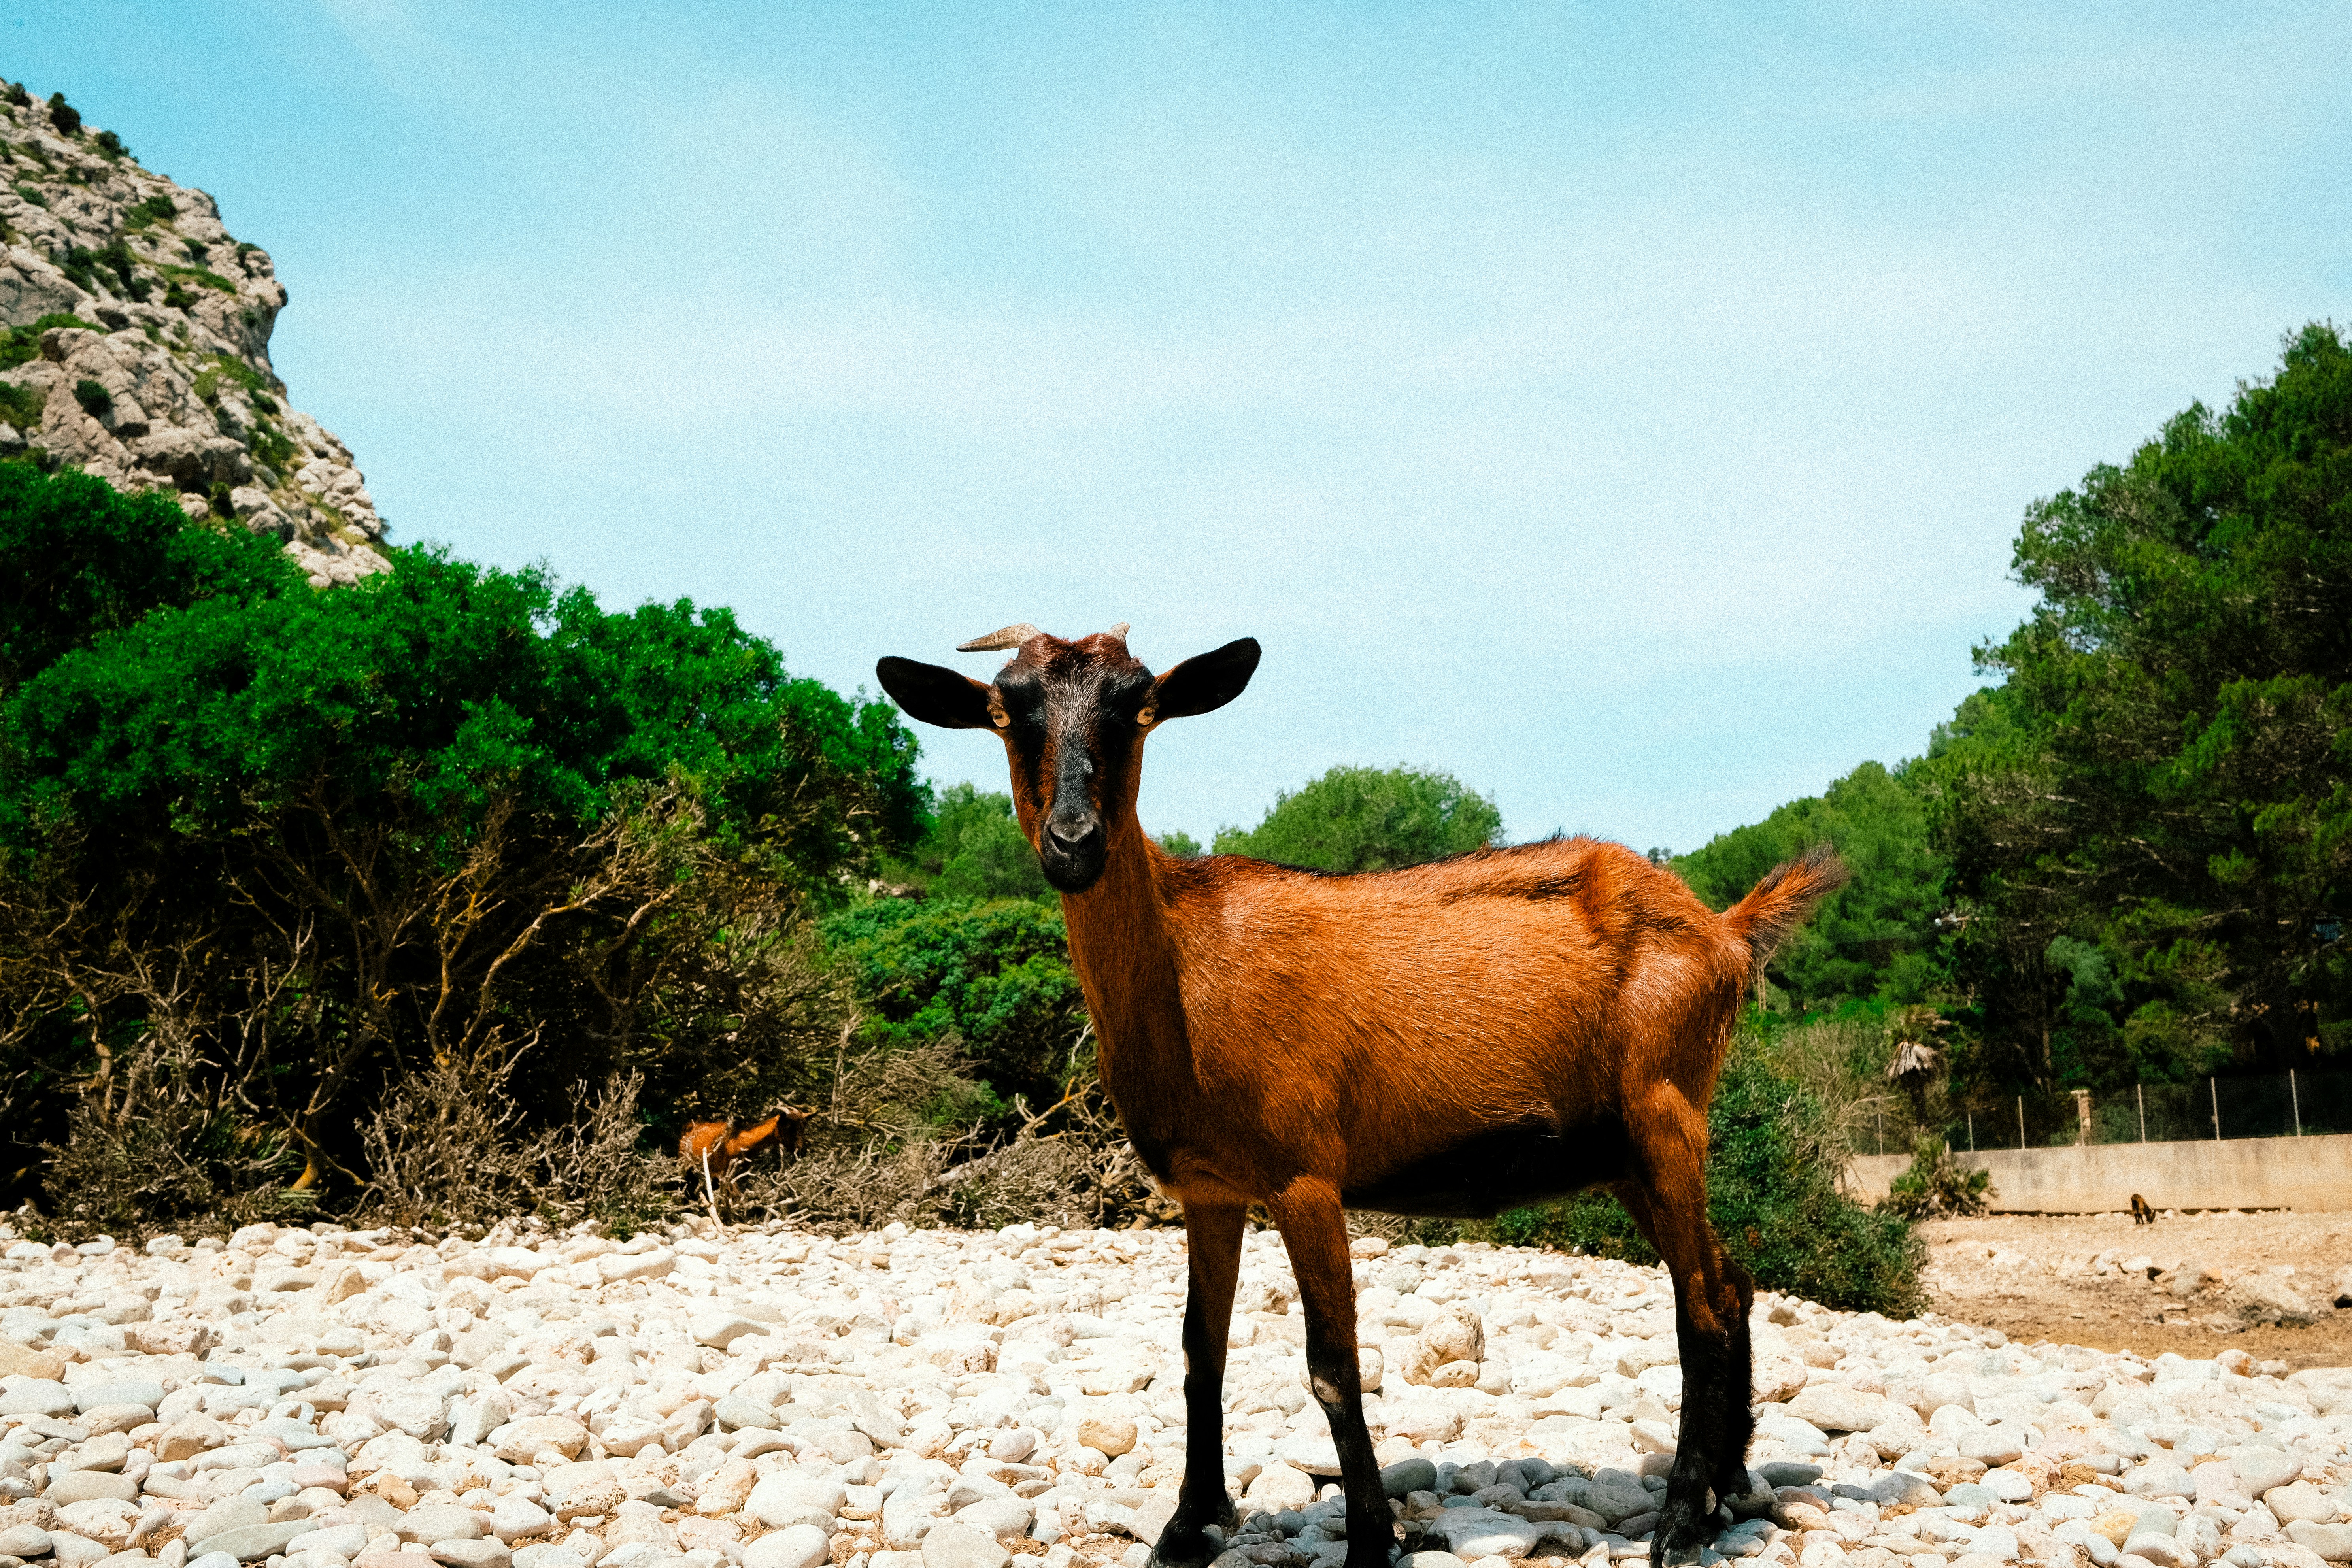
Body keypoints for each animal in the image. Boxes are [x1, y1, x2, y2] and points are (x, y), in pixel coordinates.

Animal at [875, 625, 1846, 1568]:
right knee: (1730, 1282)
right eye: (1008, 712)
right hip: (1624, 1152)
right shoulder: (1209, 1189)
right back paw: (1727, 1491)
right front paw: (1189, 1526)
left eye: (1140, 708)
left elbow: (1333, 1362)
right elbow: (1200, 1351)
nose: (1073, 841)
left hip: (1666, 1109)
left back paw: (1680, 1523)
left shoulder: (1305, 1176)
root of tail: (1724, 931)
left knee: (1701, 1307)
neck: (1186, 962)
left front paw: (1373, 1538)